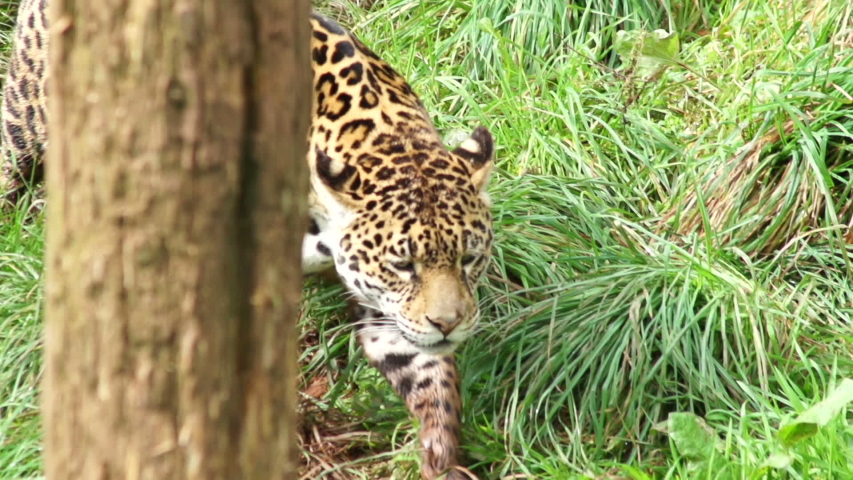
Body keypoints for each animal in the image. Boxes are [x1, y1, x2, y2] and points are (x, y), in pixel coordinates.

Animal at [1, 1, 495, 479]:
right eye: (402, 266)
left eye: (469, 259)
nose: (449, 323)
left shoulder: (383, 309)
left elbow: (429, 374)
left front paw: (441, 454)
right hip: (23, 122)